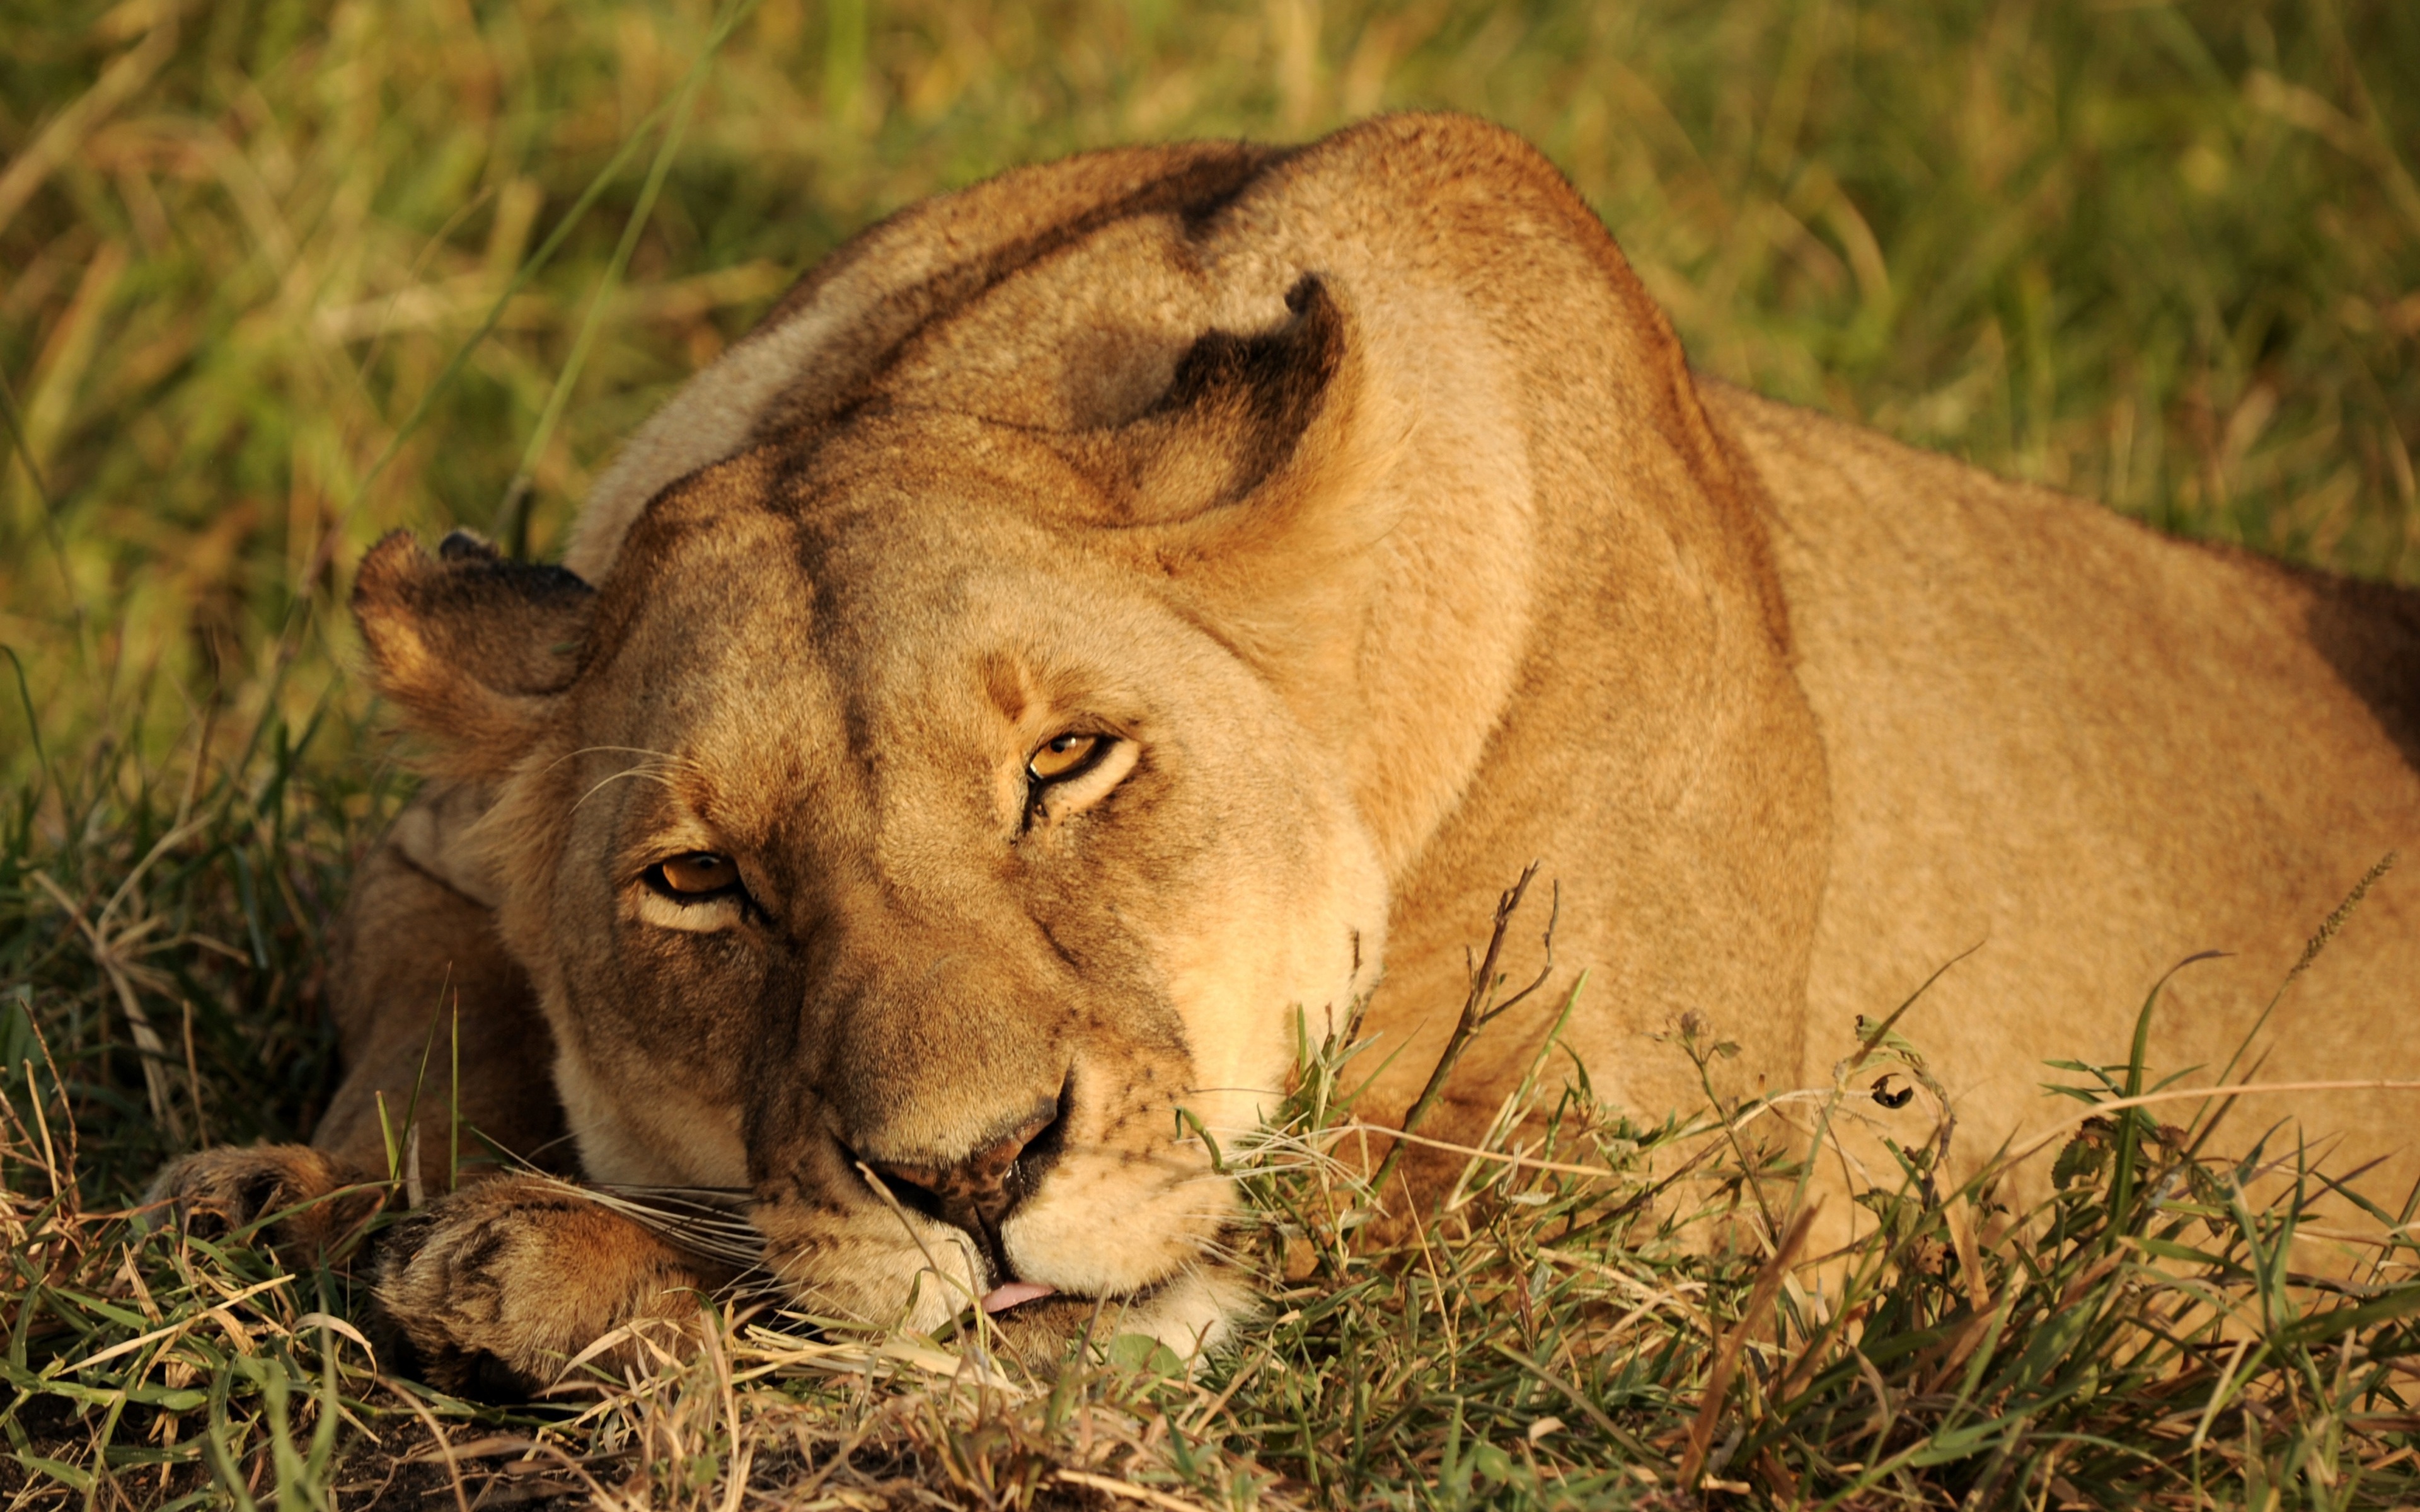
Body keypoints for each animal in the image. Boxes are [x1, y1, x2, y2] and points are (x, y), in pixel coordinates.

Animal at [153, 113, 2420, 1395]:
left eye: (1069, 762)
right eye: (699, 882)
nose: (972, 1174)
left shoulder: (1642, 1242)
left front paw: (526, 1257)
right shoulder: (443, 832)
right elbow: (438, 1001)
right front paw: (290, 1191)